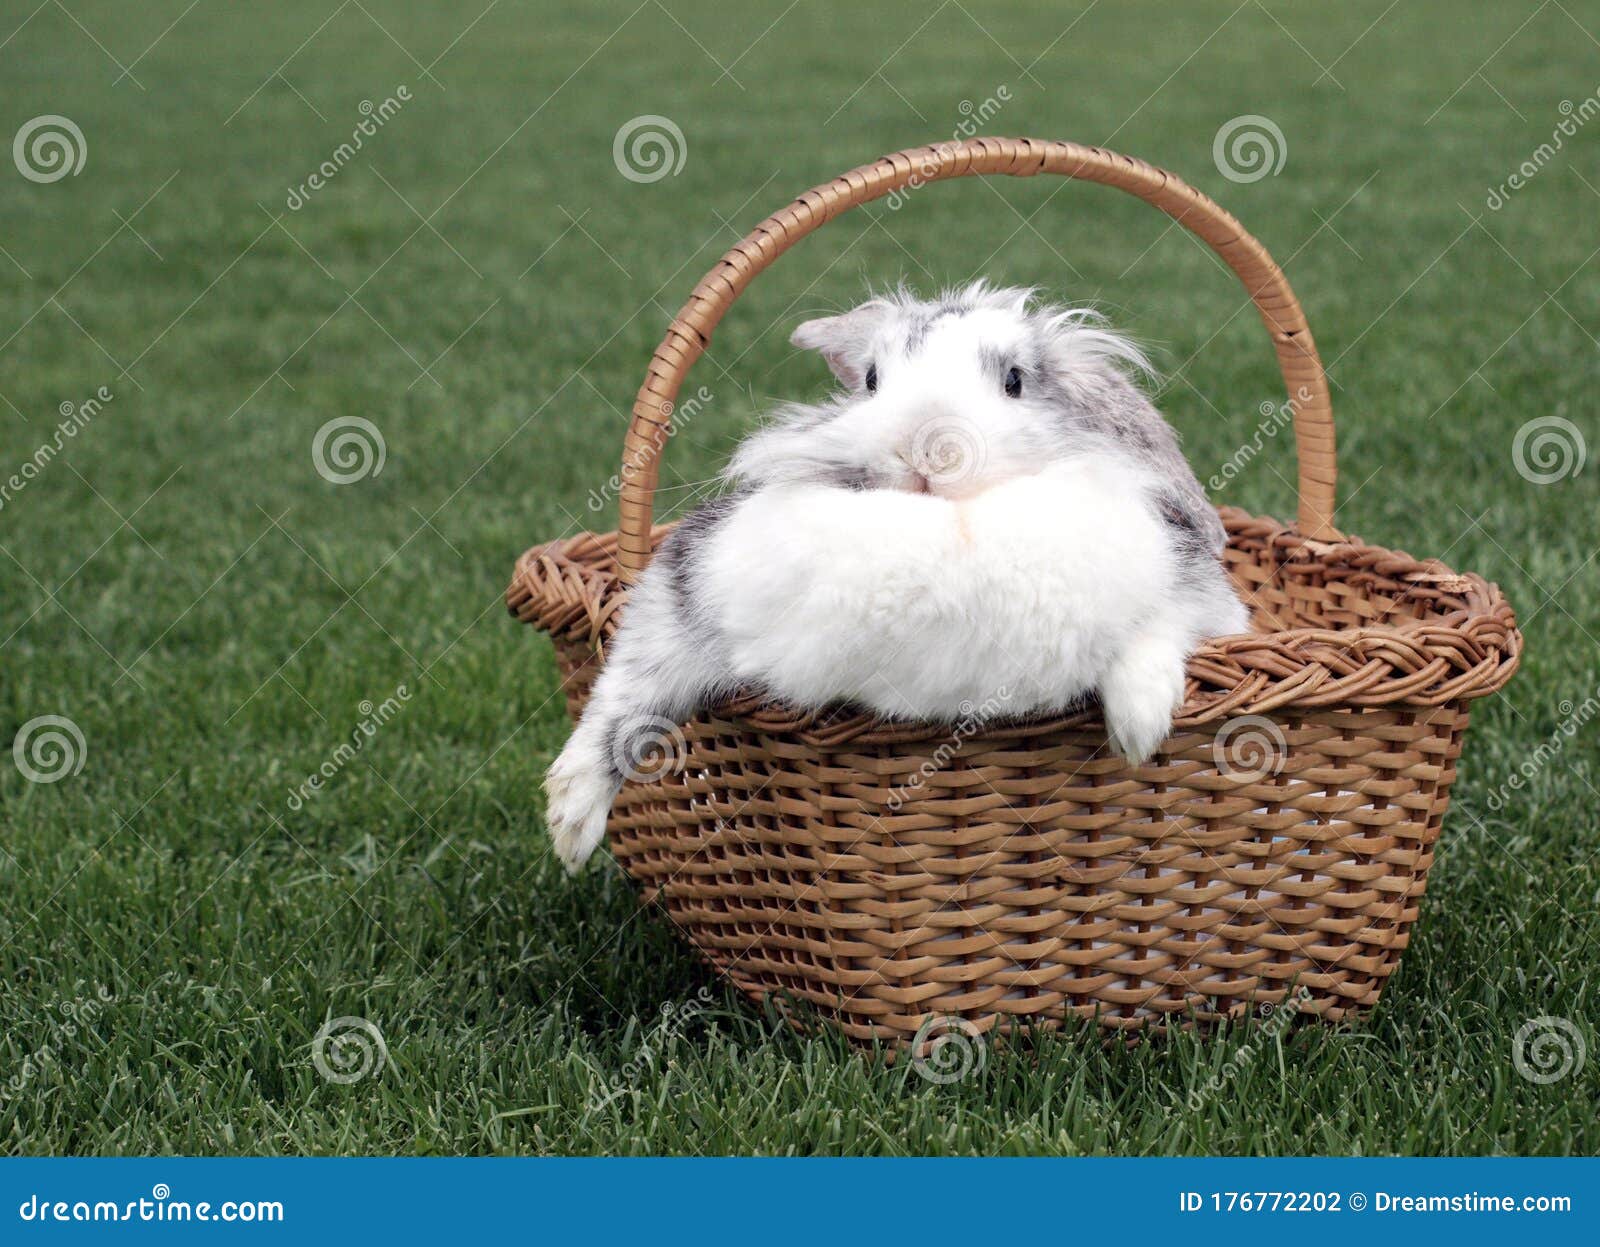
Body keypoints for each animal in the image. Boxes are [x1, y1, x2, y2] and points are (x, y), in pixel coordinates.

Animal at [543, 282, 1250, 870]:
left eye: (1015, 381)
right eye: (872, 380)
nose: (925, 448)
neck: (951, 529)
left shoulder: (1194, 594)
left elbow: (1157, 633)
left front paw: (1138, 730)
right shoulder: (682, 593)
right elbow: (627, 698)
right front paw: (570, 825)